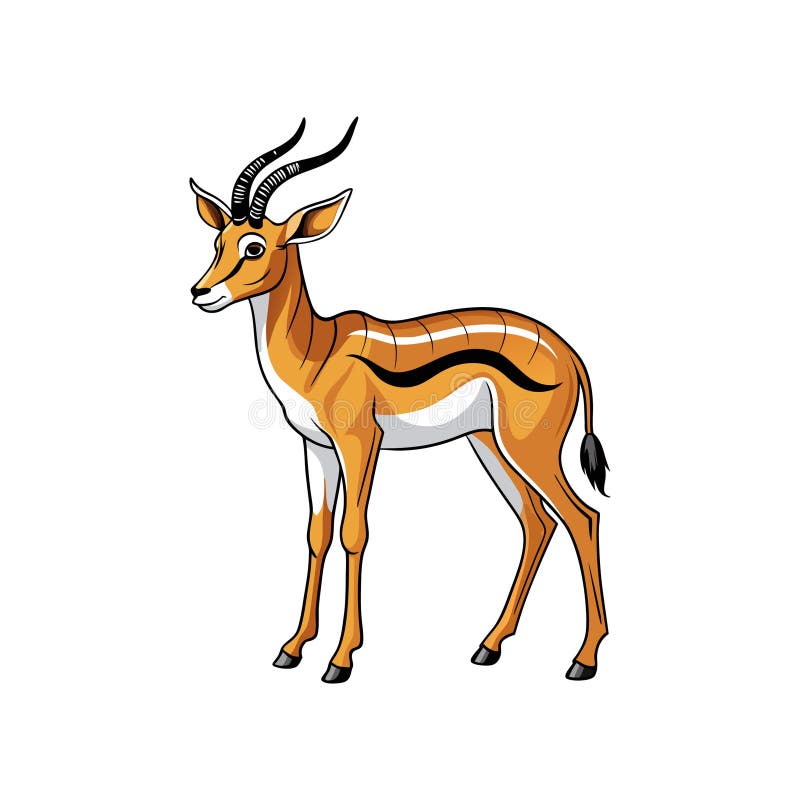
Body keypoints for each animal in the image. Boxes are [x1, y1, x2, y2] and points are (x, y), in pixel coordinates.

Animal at [189, 119, 610, 683]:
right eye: (219, 240)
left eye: (255, 246)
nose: (200, 292)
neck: (318, 350)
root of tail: (567, 351)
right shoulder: (316, 449)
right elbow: (317, 533)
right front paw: (292, 648)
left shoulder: (360, 443)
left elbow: (354, 532)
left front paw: (340, 659)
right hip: (489, 445)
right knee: (537, 523)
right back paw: (488, 646)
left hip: (529, 449)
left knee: (581, 518)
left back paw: (583, 660)